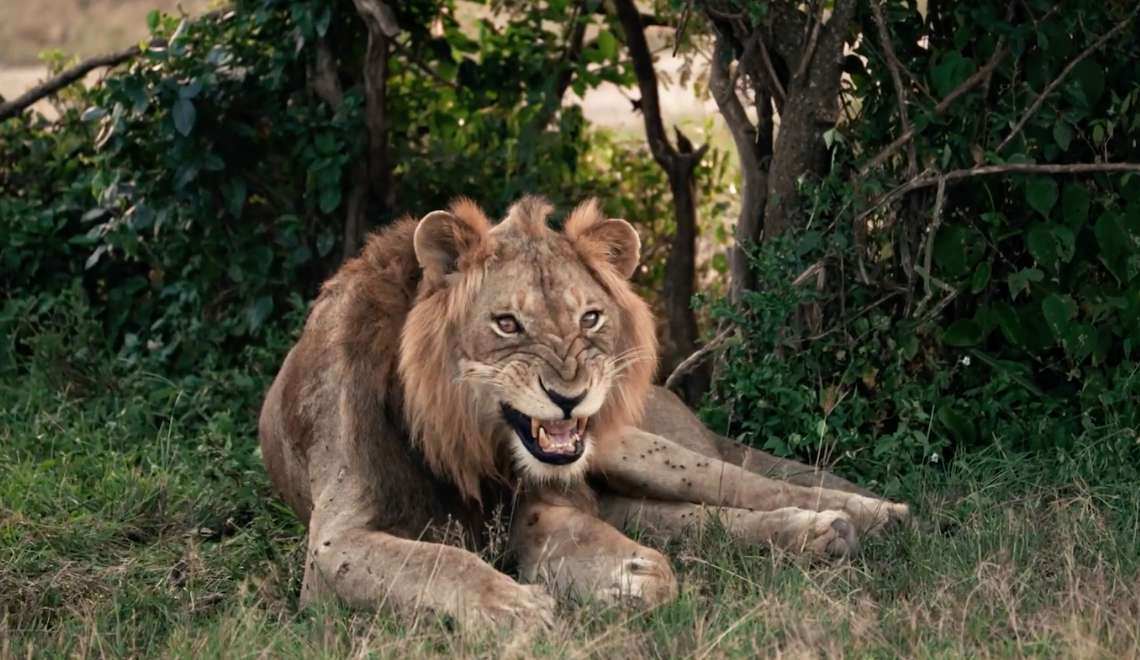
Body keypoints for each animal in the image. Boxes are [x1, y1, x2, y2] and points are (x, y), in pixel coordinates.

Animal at [258, 195, 909, 627]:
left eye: (590, 317)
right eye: (507, 323)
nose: (570, 395)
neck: (462, 440)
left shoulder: (543, 502)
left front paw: (630, 577)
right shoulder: (332, 547)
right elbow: (440, 562)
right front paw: (518, 605)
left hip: (634, 446)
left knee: (747, 484)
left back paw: (873, 516)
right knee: (696, 519)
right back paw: (824, 535)